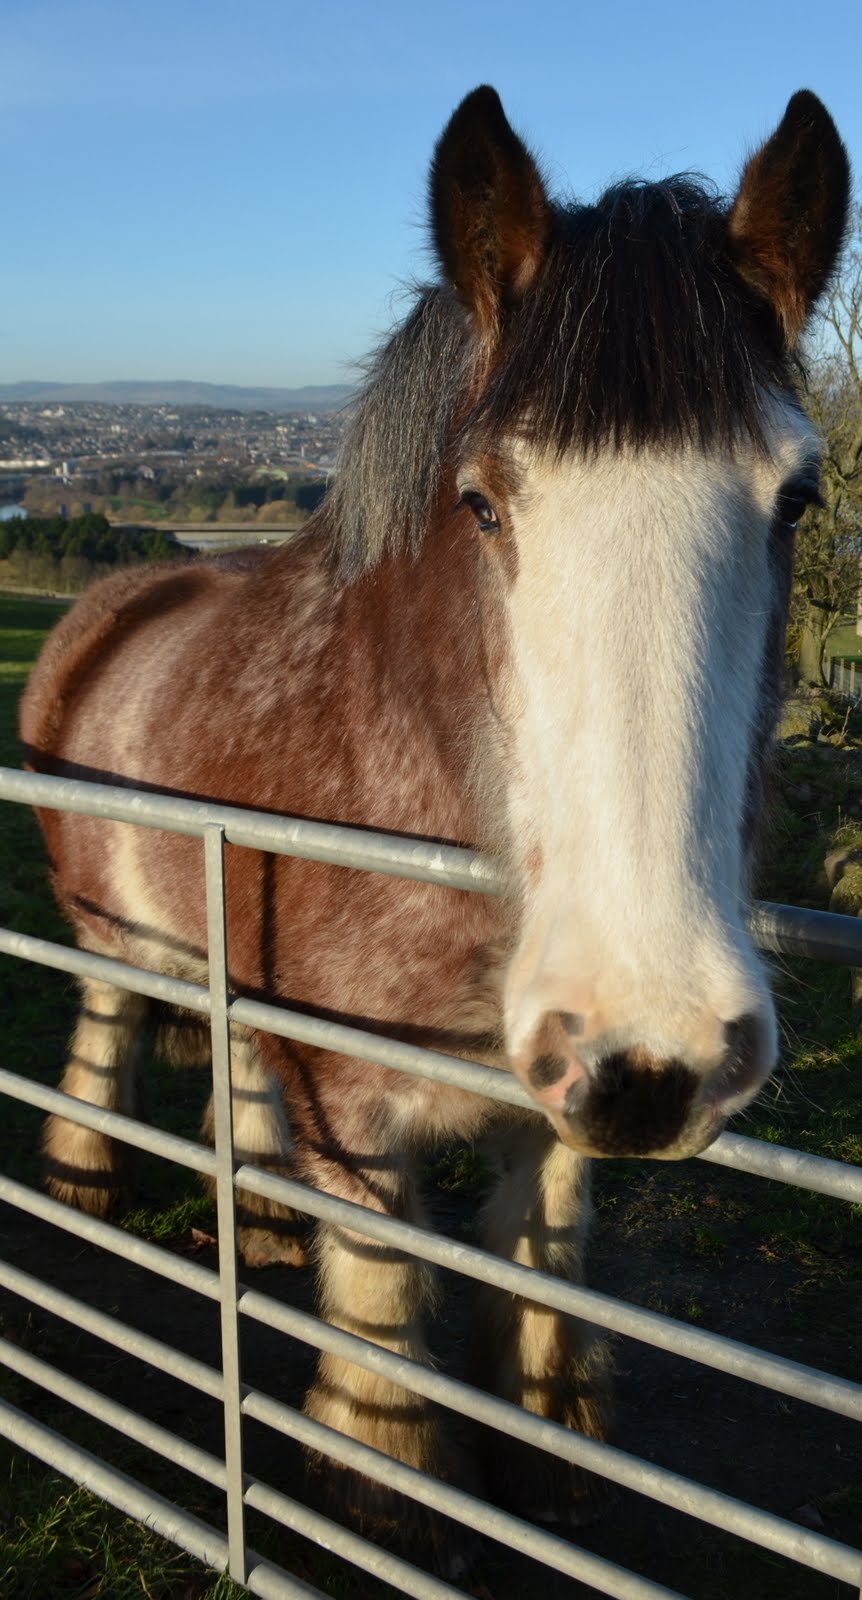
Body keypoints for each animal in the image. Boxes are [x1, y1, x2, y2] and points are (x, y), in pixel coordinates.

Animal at [20, 86, 849, 1549]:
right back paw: (83, 1188)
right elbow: (382, 1308)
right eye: (481, 503)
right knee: (104, 1043)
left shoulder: (554, 1102)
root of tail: (104, 607)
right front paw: (380, 1481)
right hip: (109, 943)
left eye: (795, 500)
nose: (657, 1046)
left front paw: (551, 1446)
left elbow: (543, 1268)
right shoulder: (356, 1106)